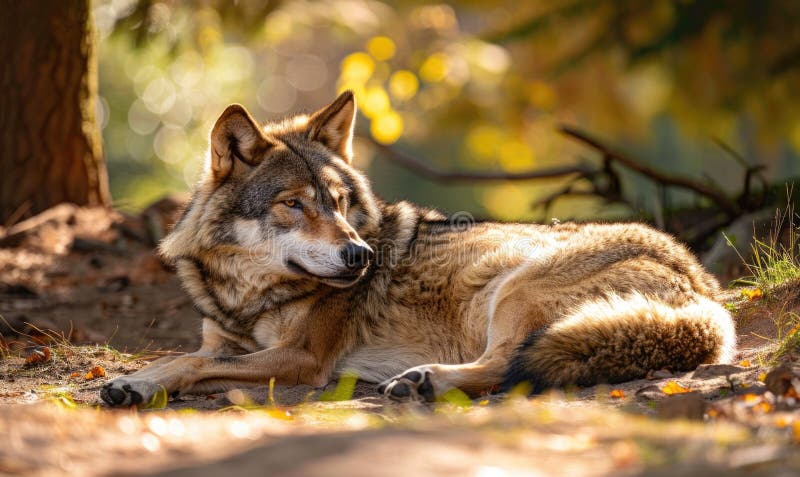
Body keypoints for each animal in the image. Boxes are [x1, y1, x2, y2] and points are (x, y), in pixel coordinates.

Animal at [101, 91, 736, 406]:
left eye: (339, 202)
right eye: (294, 204)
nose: (359, 255)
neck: (246, 296)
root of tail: (706, 289)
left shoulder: (302, 357)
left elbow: (192, 363)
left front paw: (138, 386)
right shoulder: (225, 338)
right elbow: (185, 357)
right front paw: (137, 381)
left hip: (514, 289)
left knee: (509, 365)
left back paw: (424, 381)